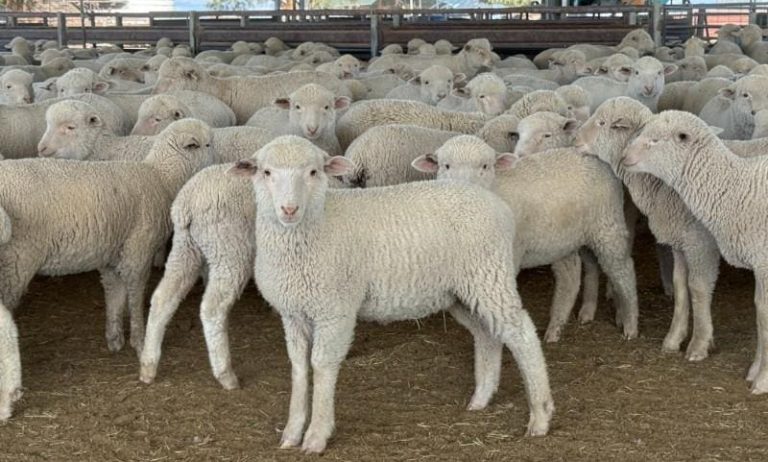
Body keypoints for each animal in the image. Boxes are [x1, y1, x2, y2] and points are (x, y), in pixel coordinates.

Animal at [0, 118, 213, 371]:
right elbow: (135, 295)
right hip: (14, 262)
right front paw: (139, 341)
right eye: (207, 145)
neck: (162, 177)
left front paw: (115, 338)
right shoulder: (138, 250)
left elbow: (115, 295)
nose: (218, 161)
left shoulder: (113, 254)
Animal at [229, 135, 554, 452]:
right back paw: (481, 399)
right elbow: (298, 368)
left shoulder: (335, 309)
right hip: (462, 291)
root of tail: (495, 203)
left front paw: (316, 436)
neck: (317, 224)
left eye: (313, 172)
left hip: (489, 276)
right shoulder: (293, 313)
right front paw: (292, 432)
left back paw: (540, 415)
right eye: (266, 172)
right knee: (487, 334)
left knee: (522, 334)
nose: (289, 210)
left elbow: (321, 365)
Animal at [574, 97, 719, 361]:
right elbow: (681, 287)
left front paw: (700, 344)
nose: (575, 140)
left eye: (602, 123)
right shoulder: (679, 243)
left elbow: (699, 289)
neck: (660, 186)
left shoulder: (701, 244)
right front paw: (674, 338)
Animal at [621, 109, 768, 393]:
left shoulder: (764, 262)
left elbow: (764, 315)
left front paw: (763, 379)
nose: (624, 157)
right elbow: (759, 313)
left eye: (655, 140)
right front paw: (755, 371)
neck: (738, 188)